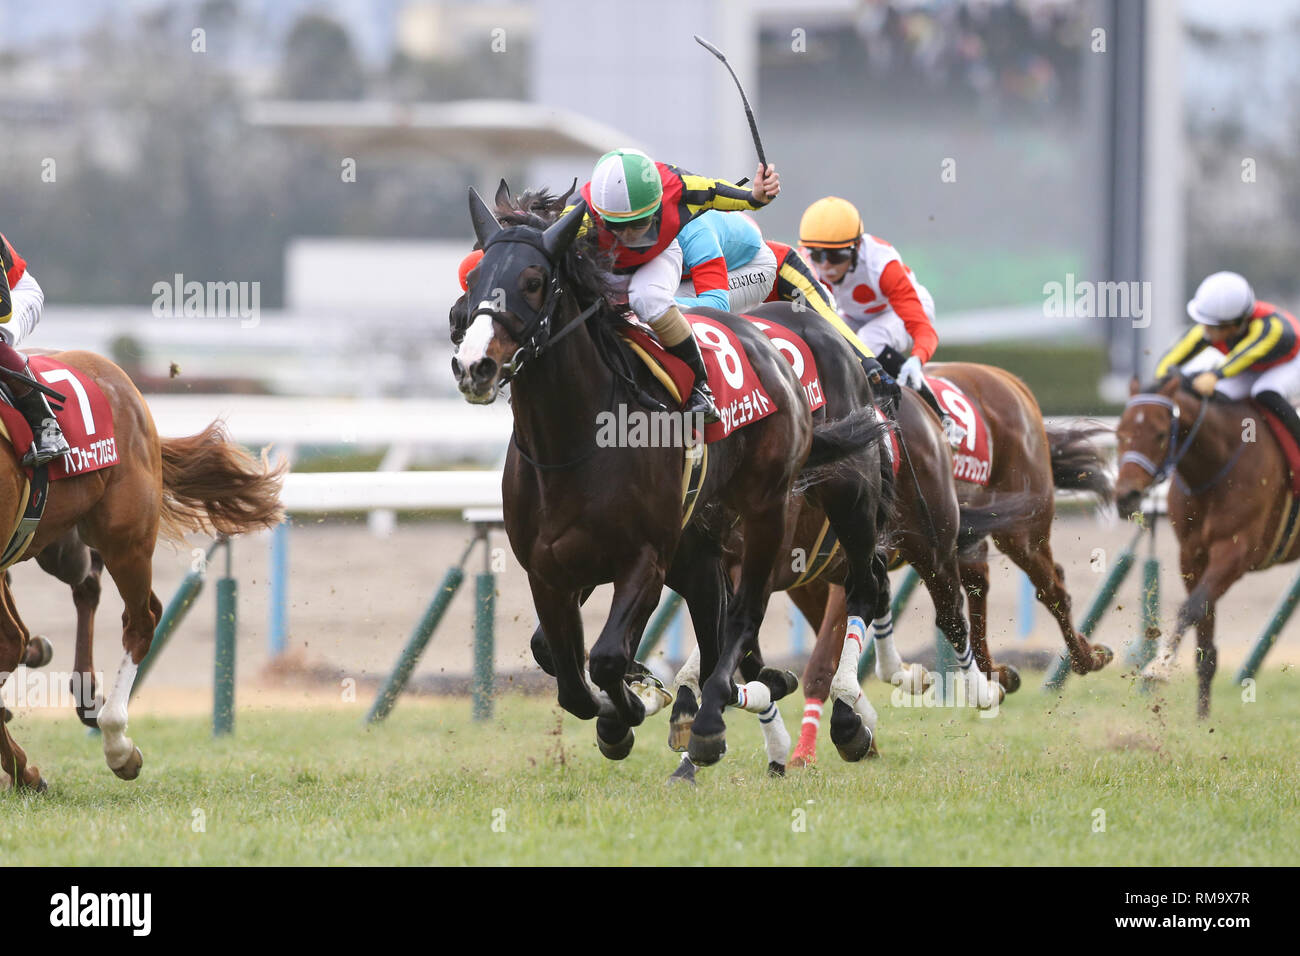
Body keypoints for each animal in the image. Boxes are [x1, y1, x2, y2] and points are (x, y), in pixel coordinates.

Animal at [0, 352, 284, 790]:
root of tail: (119, 377)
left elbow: (9, 643)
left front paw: (26, 772)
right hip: (51, 540)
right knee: (90, 591)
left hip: (122, 537)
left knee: (139, 617)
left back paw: (116, 741)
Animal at [451, 185, 894, 769]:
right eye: (473, 281)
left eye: (532, 280)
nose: (473, 366)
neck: (574, 441)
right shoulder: (550, 569)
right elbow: (567, 674)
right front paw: (628, 707)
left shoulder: (646, 557)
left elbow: (607, 657)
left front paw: (633, 708)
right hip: (707, 542)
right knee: (724, 626)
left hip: (813, 502)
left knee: (833, 593)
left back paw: (793, 719)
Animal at [1115, 374, 1293, 716]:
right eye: (1120, 432)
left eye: (1160, 433)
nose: (1126, 496)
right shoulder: (1191, 555)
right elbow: (1204, 639)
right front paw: (1201, 718)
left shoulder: (1235, 553)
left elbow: (1191, 607)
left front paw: (1158, 667)